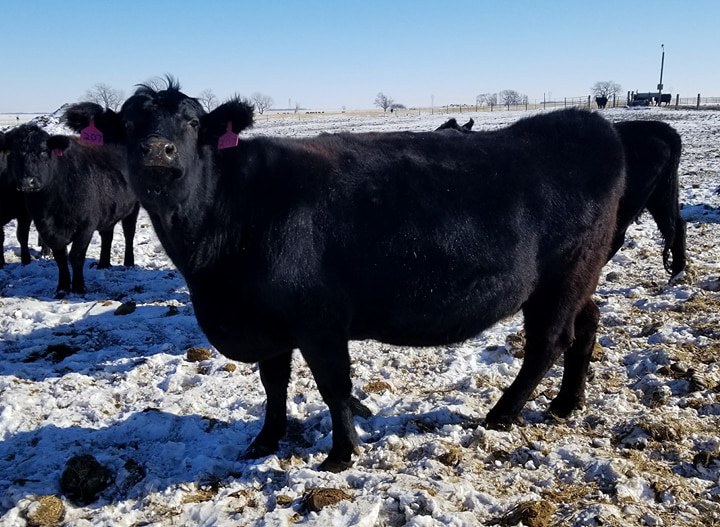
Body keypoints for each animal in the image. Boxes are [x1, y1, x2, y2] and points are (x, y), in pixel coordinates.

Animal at [1, 124, 140, 295]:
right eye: (13, 153)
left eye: (43, 151)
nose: (28, 181)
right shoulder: (45, 228)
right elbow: (60, 258)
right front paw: (62, 288)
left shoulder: (86, 226)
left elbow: (76, 256)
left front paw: (79, 287)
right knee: (107, 236)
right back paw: (103, 264)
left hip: (133, 208)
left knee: (129, 233)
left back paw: (128, 262)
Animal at [65, 80, 625, 472]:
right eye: (127, 126)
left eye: (192, 122)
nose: (156, 151)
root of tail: (584, 123)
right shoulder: (269, 324)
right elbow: (274, 385)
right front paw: (265, 441)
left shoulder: (320, 320)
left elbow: (334, 387)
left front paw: (341, 453)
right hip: (581, 278)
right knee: (587, 327)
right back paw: (565, 404)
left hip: (561, 279)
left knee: (548, 343)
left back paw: (504, 413)